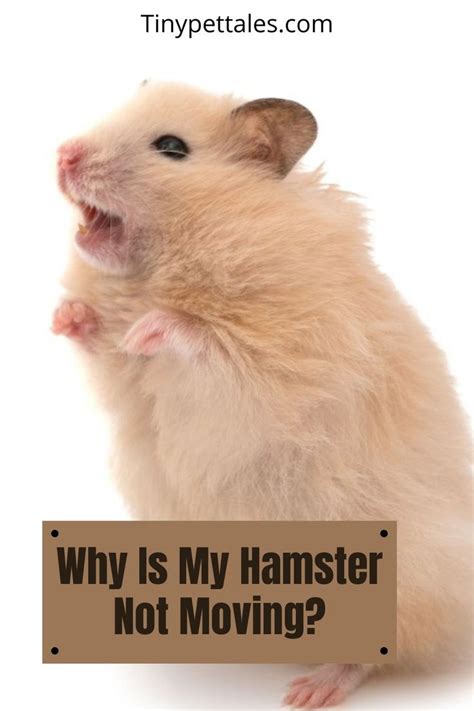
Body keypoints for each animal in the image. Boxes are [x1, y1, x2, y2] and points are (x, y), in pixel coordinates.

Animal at [52, 82, 472, 708]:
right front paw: (65, 317)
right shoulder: (123, 382)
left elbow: (208, 346)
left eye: (171, 147)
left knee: (374, 653)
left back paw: (309, 691)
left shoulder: (278, 370)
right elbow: (104, 350)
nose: (63, 155)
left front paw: (150, 329)